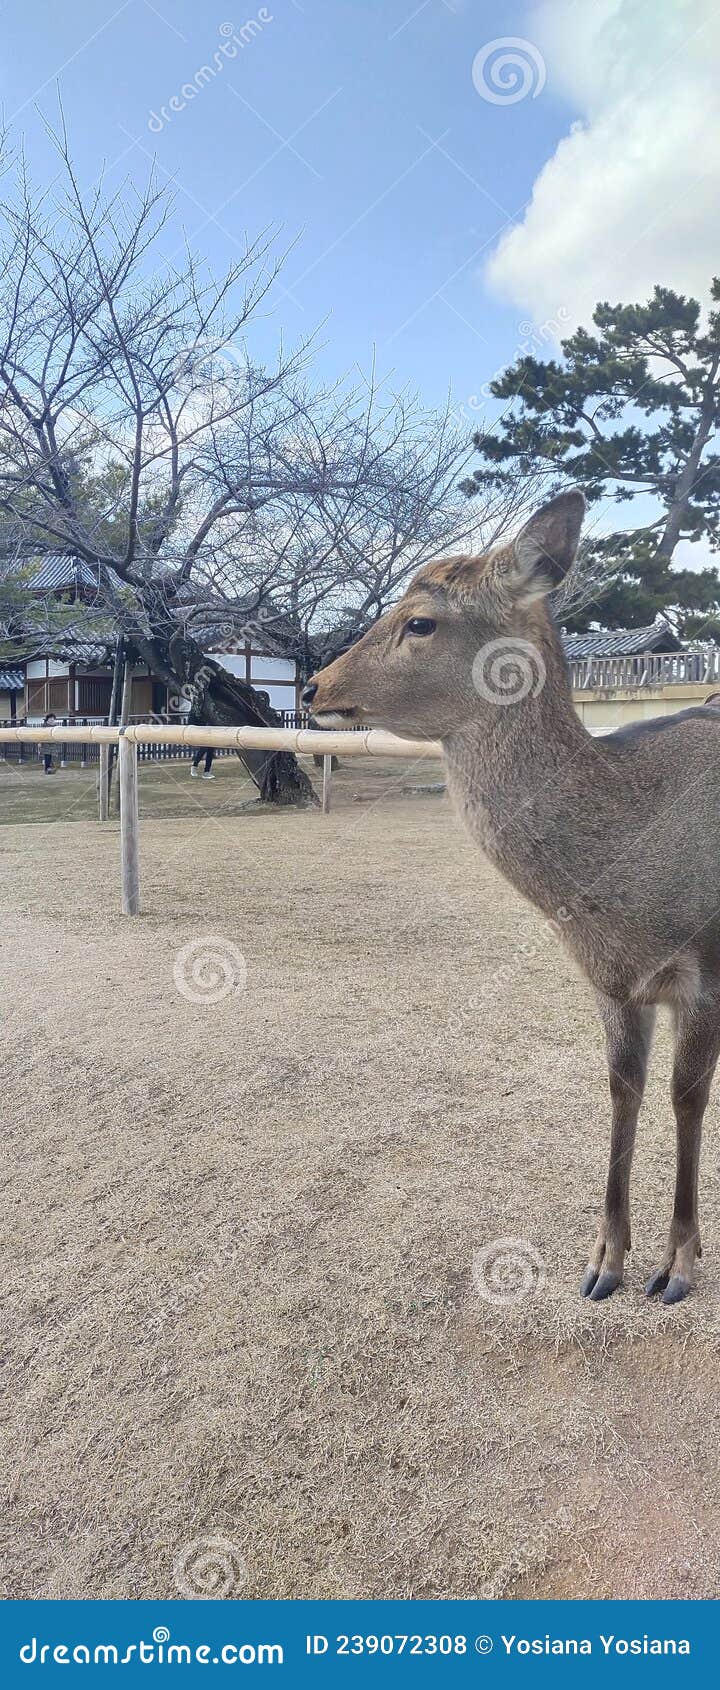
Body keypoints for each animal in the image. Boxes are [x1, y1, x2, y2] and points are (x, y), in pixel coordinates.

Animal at [302, 491, 720, 1306]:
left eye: (421, 621)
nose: (312, 687)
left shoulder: (708, 971)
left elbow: (687, 1098)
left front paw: (679, 1269)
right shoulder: (608, 982)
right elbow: (623, 1090)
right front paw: (604, 1264)